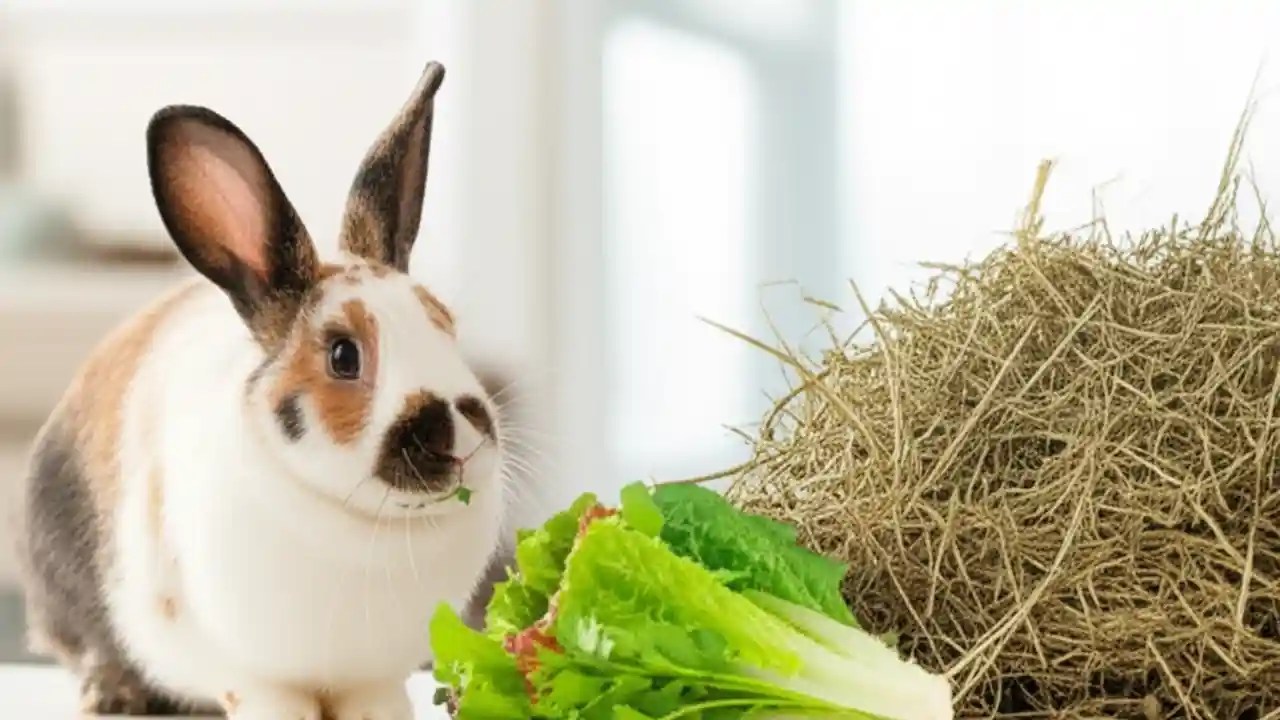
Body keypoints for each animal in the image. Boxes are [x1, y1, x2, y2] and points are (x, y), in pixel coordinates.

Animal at [12, 60, 507, 719]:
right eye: (343, 356)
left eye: (445, 323)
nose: (460, 428)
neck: (363, 522)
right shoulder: (240, 666)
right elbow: (265, 695)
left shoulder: (373, 674)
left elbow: (376, 698)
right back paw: (112, 693)